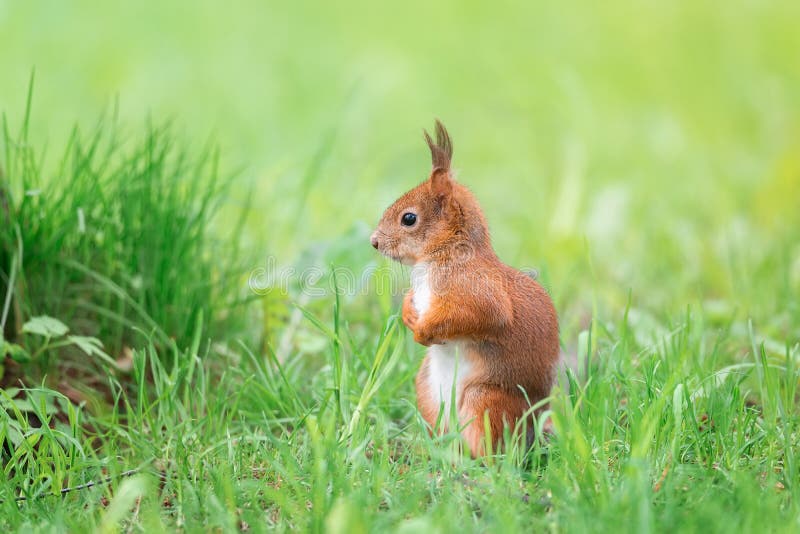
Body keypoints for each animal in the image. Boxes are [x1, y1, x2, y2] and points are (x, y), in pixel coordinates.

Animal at [370, 121, 560, 456]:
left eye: (409, 218)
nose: (374, 241)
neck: (442, 254)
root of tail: (533, 424)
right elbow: (411, 299)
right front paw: (409, 314)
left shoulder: (477, 292)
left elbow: (480, 316)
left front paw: (423, 331)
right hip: (427, 390)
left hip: (485, 400)